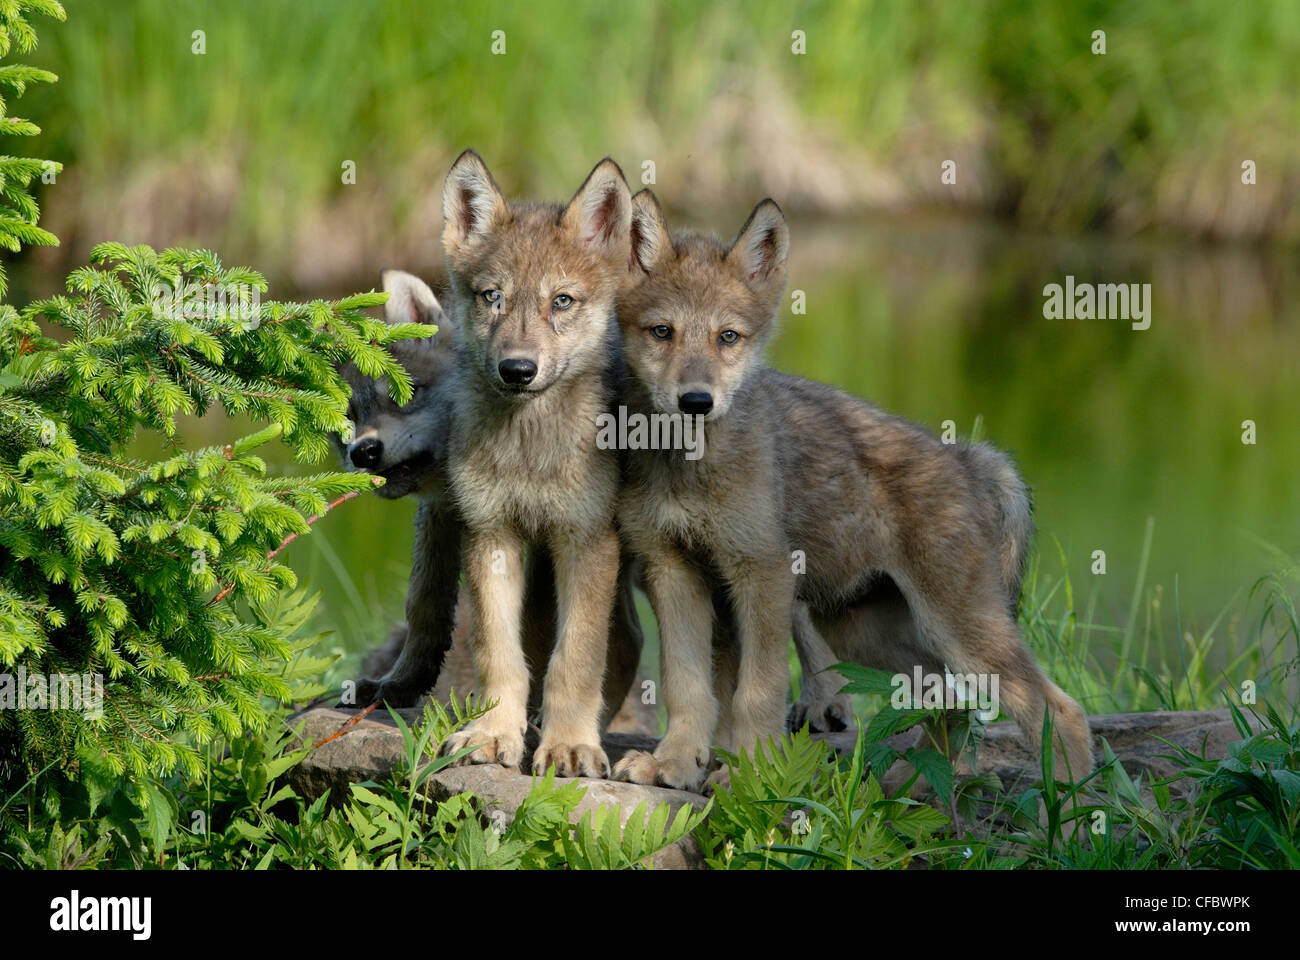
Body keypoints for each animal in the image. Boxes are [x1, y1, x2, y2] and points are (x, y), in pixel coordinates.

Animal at [333, 268, 643, 732]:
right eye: (347, 419)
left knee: (625, 640)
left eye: (408, 394)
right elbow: (424, 608)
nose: (364, 452)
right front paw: (400, 685)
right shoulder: (444, 517)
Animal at [434, 151, 634, 778]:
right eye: (491, 297)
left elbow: (576, 660)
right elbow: (499, 654)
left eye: (561, 301)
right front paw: (492, 734)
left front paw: (570, 746)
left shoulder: (587, 541)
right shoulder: (491, 533)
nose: (517, 370)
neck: (529, 450)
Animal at [611, 190, 1092, 792]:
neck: (689, 463)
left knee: (1058, 710)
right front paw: (673, 766)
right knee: (949, 701)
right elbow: (687, 687)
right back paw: (906, 786)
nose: (696, 401)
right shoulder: (673, 572)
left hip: (959, 630)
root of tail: (973, 459)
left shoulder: (761, 574)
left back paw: (1070, 809)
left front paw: (752, 779)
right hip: (858, 631)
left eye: (728, 337)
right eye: (662, 332)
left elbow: (757, 695)